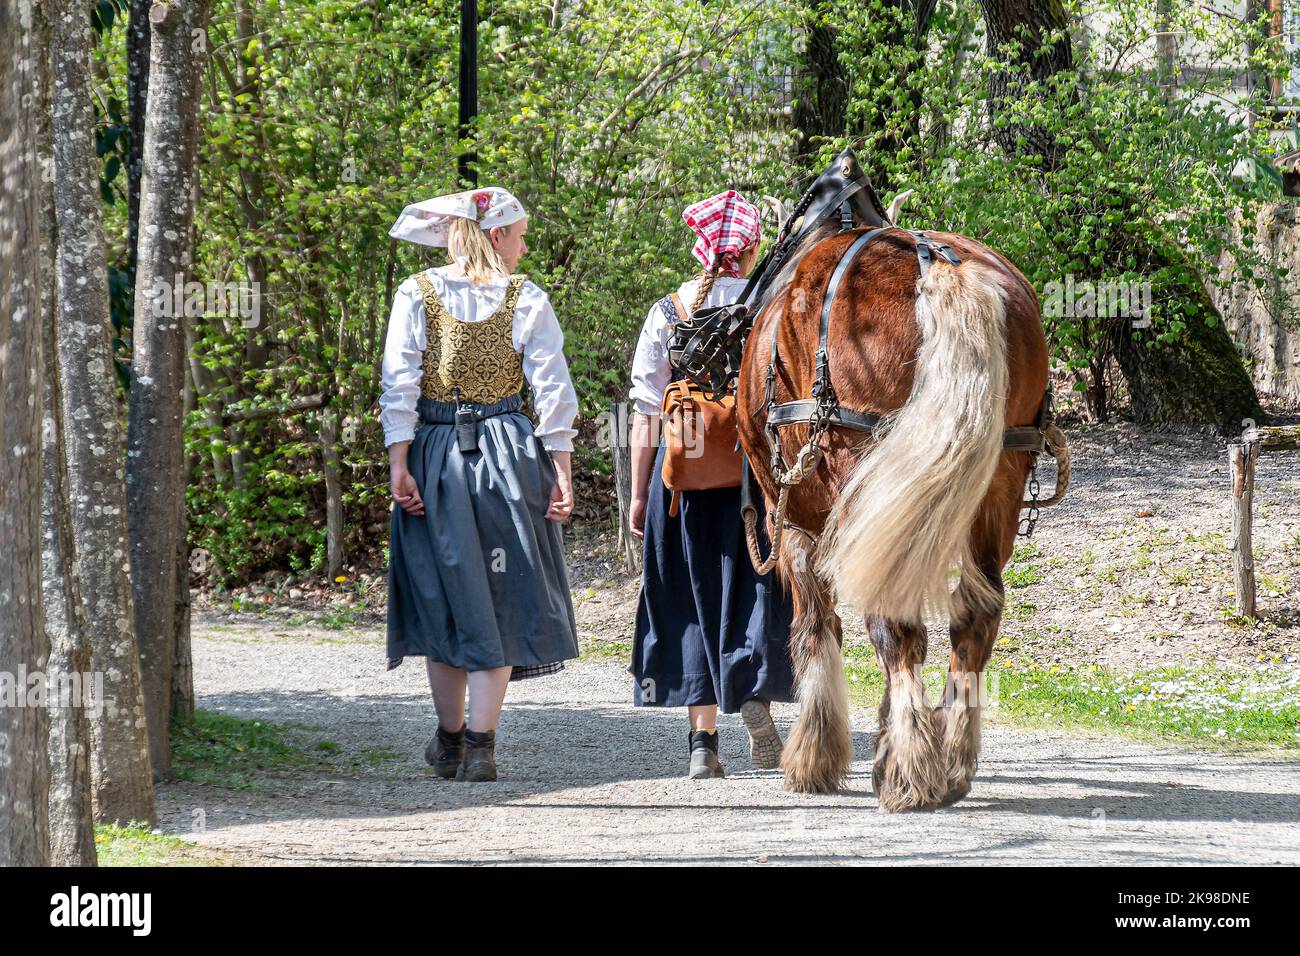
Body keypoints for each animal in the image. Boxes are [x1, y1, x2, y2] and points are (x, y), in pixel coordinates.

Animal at [733, 177, 1058, 811]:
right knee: (974, 616)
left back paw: (908, 768)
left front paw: (817, 754)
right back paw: (950, 759)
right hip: (999, 479)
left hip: (862, 481)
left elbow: (815, 627)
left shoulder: (799, 520)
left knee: (892, 624)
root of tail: (940, 266)